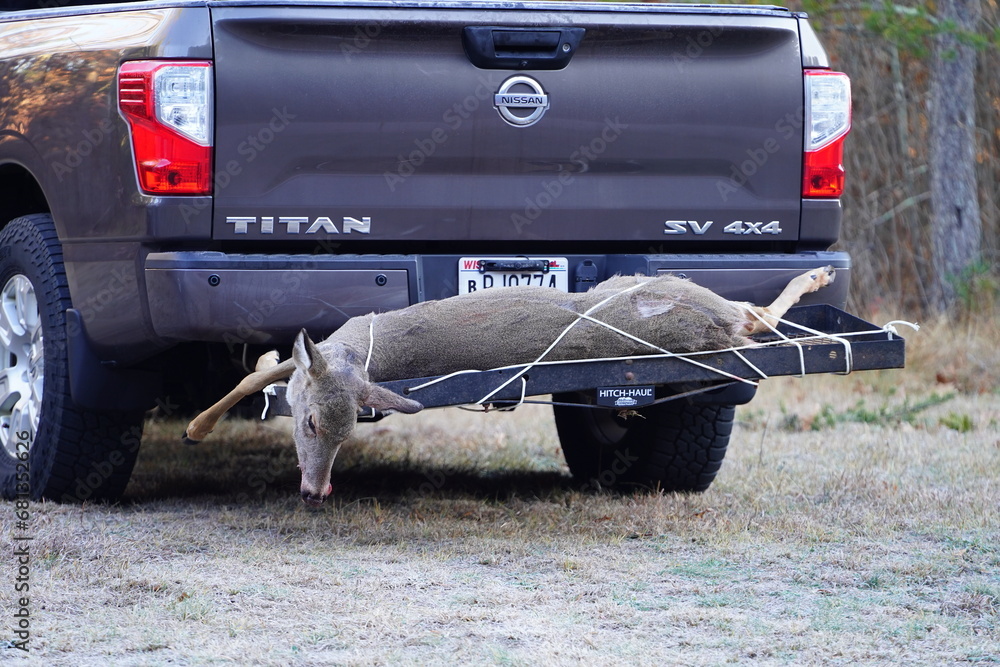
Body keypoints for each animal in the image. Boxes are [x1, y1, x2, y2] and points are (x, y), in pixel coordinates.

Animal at [183, 266, 835, 506]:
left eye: (340, 431)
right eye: (316, 425)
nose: (315, 490)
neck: (360, 352)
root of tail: (712, 326)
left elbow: (257, 370)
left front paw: (195, 426)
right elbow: (265, 367)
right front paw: (205, 418)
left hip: (646, 287)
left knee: (756, 316)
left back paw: (816, 275)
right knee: (756, 318)